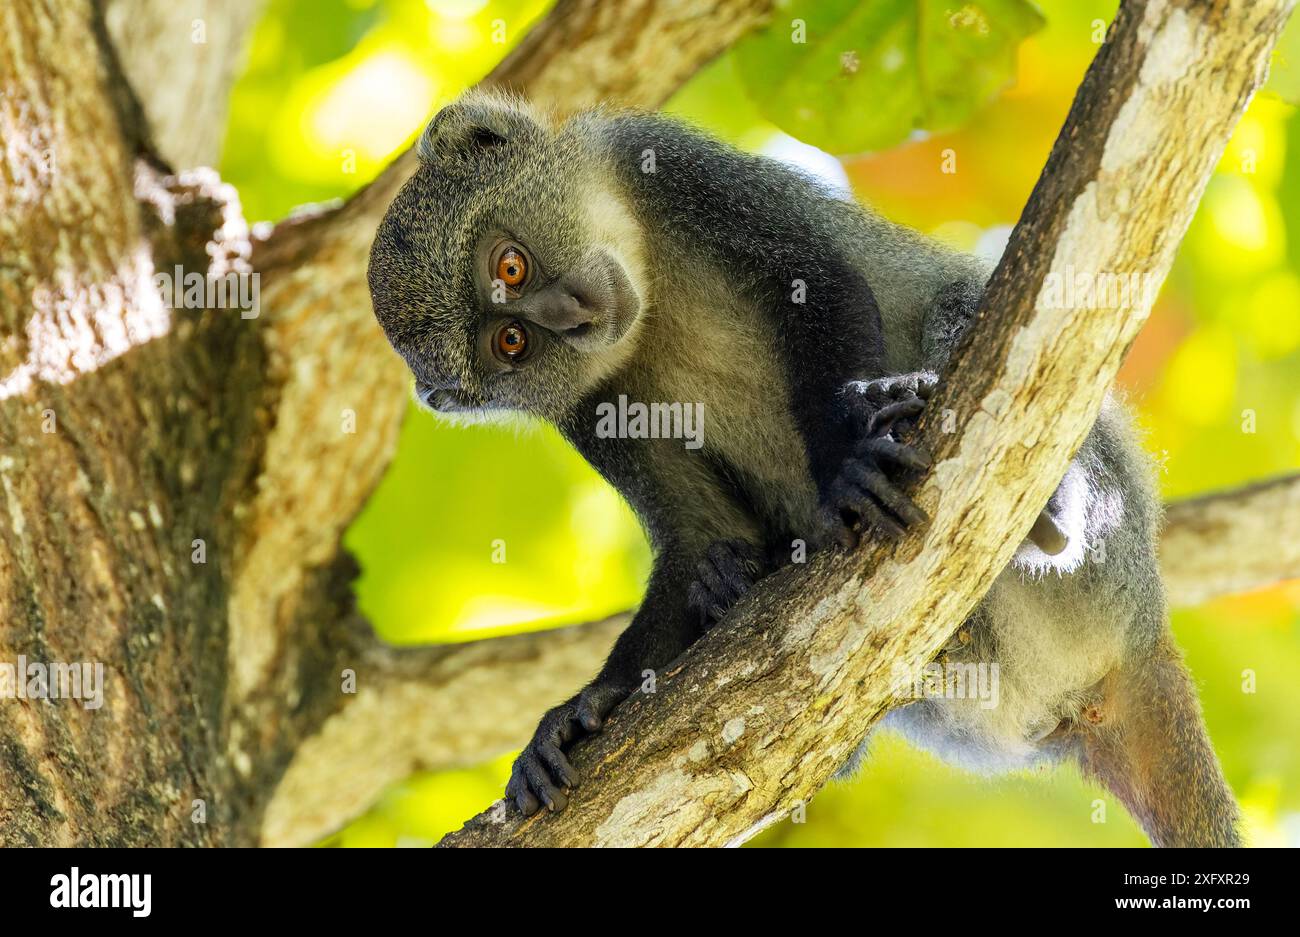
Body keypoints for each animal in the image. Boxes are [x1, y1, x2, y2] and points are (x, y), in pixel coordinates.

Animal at [366, 90, 1241, 847]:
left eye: (510, 267)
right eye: (510, 343)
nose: (572, 313)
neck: (646, 295)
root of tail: (1138, 641)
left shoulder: (677, 169)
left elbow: (819, 285)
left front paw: (846, 467)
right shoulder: (587, 405)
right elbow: (698, 537)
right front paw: (586, 708)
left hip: (1104, 553)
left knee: (964, 303)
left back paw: (1048, 515)